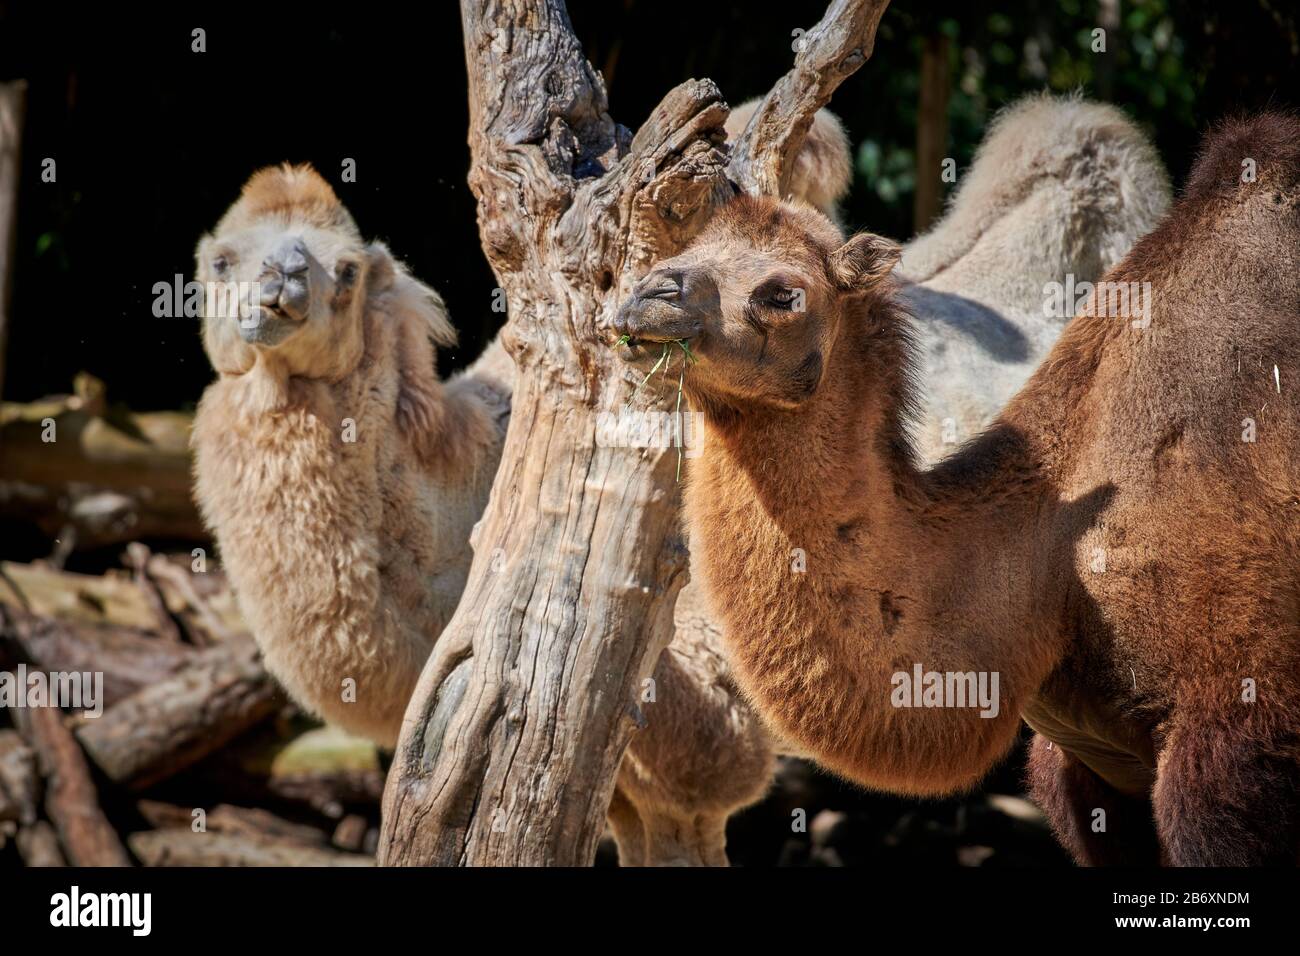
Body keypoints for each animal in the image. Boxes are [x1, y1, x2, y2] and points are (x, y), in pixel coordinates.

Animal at [613, 111, 1300, 865]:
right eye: (688, 246)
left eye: (782, 294)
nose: (644, 298)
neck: (1058, 554)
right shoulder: (1094, 765)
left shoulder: (1235, 741)